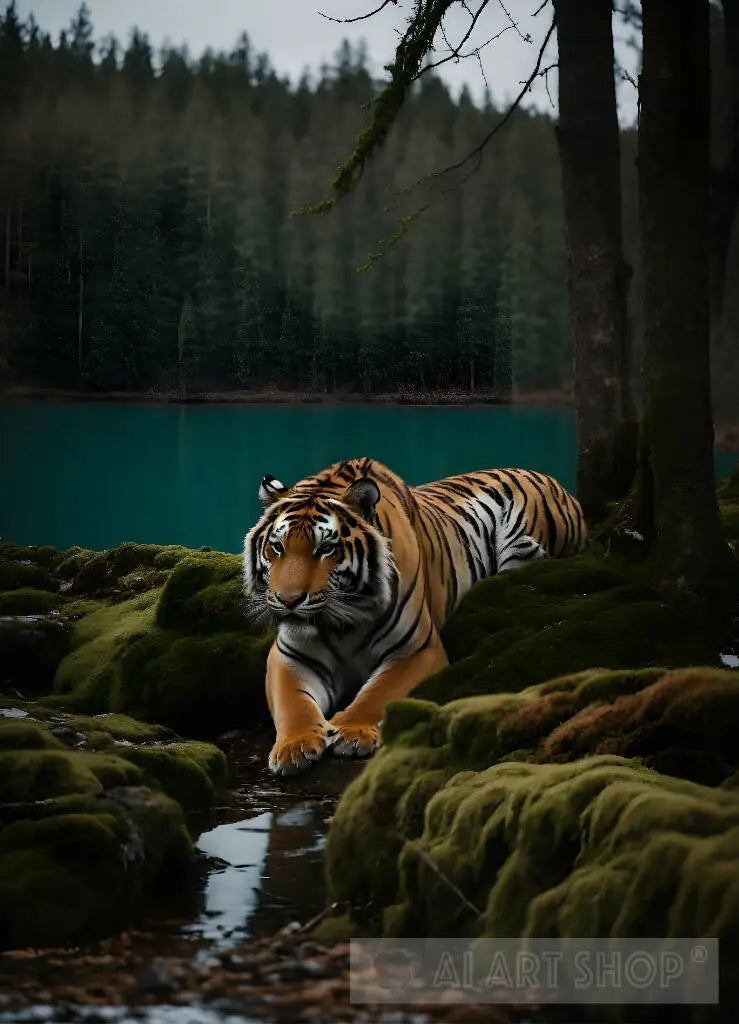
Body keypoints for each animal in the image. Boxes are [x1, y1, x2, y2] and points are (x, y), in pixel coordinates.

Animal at [242, 457, 586, 775]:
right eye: (277, 547)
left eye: (326, 549)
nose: (288, 600)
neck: (344, 623)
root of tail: (554, 480)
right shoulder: (289, 656)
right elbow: (294, 704)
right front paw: (294, 747)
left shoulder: (417, 650)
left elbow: (378, 694)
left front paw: (353, 732)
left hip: (522, 546)